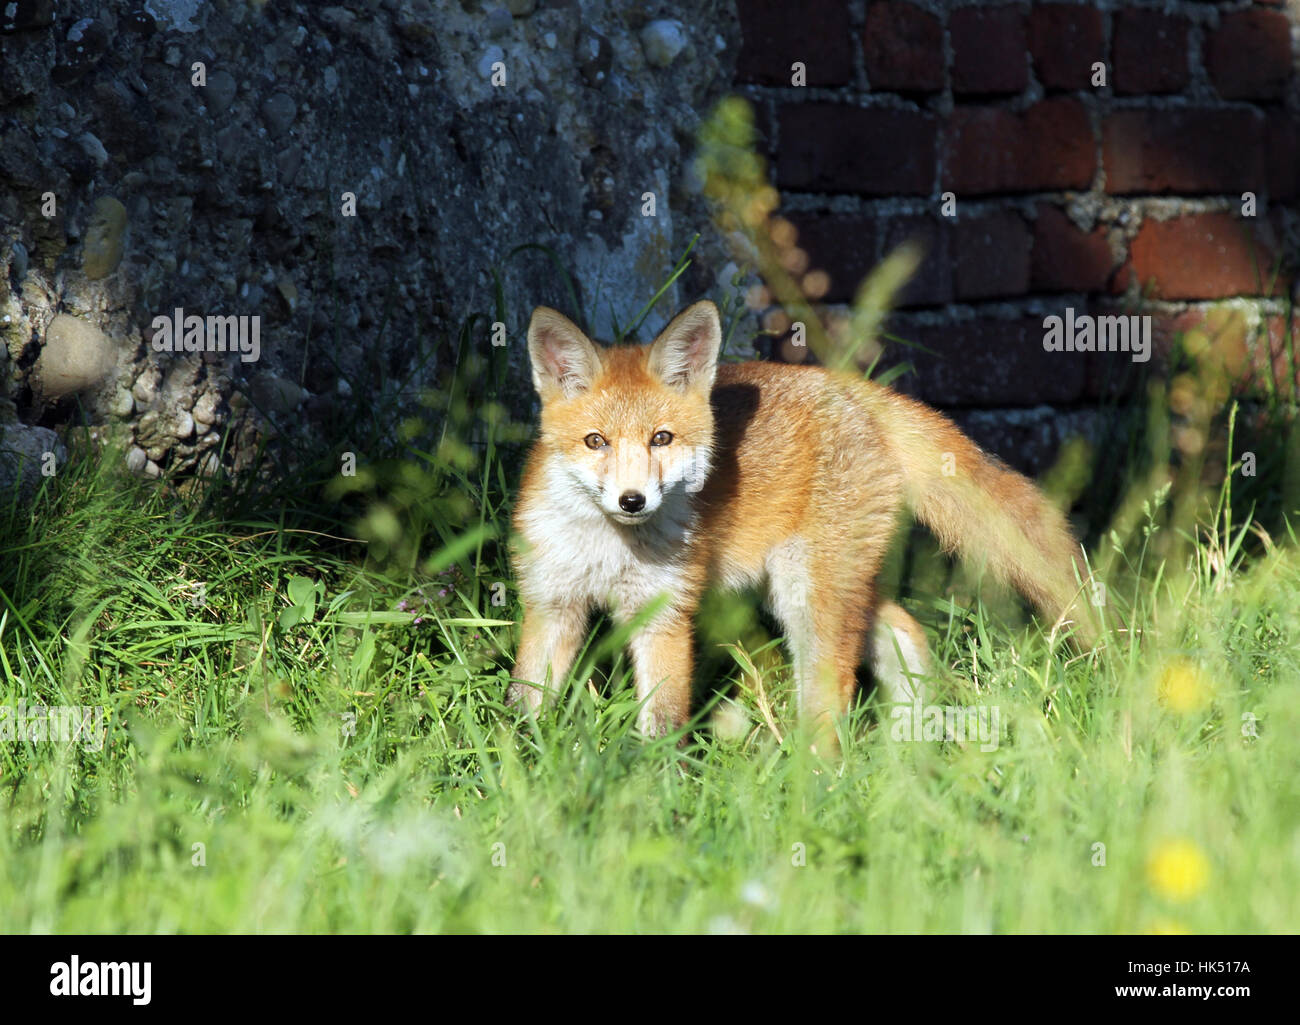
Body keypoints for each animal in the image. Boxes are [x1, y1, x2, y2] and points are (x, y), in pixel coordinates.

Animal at [507, 300, 1096, 755]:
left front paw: (654, 785)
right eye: (595, 442)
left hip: (807, 591)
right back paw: (907, 748)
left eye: (661, 439)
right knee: (905, 630)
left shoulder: (665, 615)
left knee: (835, 682)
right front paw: (521, 767)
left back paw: (815, 775)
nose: (633, 501)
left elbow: (663, 722)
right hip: (812, 584)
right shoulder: (552, 603)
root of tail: (849, 389)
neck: (607, 549)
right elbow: (526, 699)